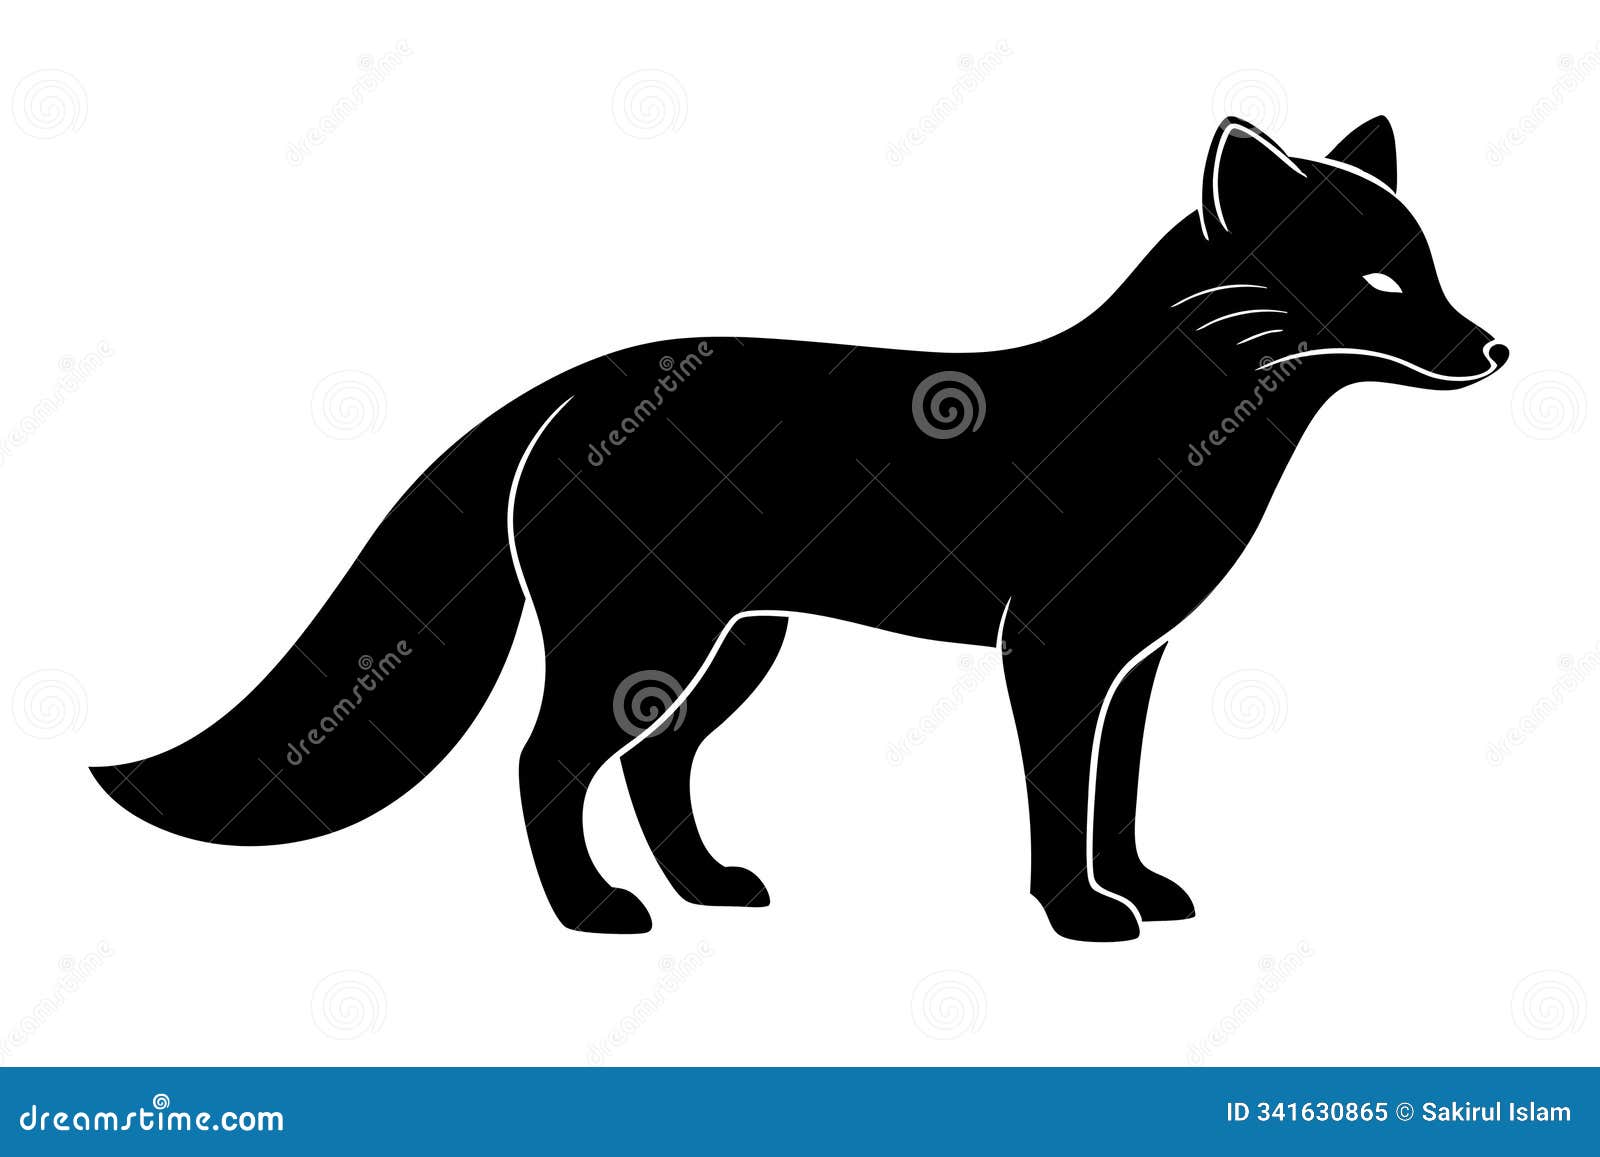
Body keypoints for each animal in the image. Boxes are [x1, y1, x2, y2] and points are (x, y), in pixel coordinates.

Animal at [93, 115, 1507, 941]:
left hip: (728, 647)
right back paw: (596, 912)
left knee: (654, 766)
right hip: (641, 638)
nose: (1494, 347)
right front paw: (1079, 914)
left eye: (1429, 266)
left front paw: (1144, 891)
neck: (1185, 431)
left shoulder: (1136, 655)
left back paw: (709, 888)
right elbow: (1058, 798)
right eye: (1374, 279)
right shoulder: (1052, 652)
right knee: (545, 763)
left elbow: (1119, 790)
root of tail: (573, 386)